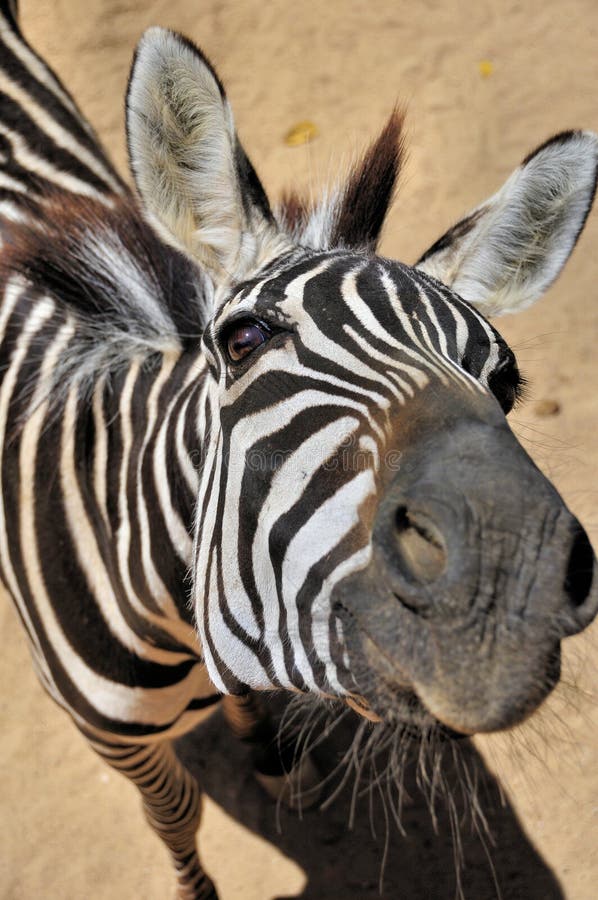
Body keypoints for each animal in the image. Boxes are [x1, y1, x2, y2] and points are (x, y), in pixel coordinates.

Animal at [1, 2, 597, 897]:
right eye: (242, 341)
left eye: (505, 379)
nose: (506, 579)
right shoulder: (112, 740)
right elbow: (175, 812)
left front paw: (274, 755)